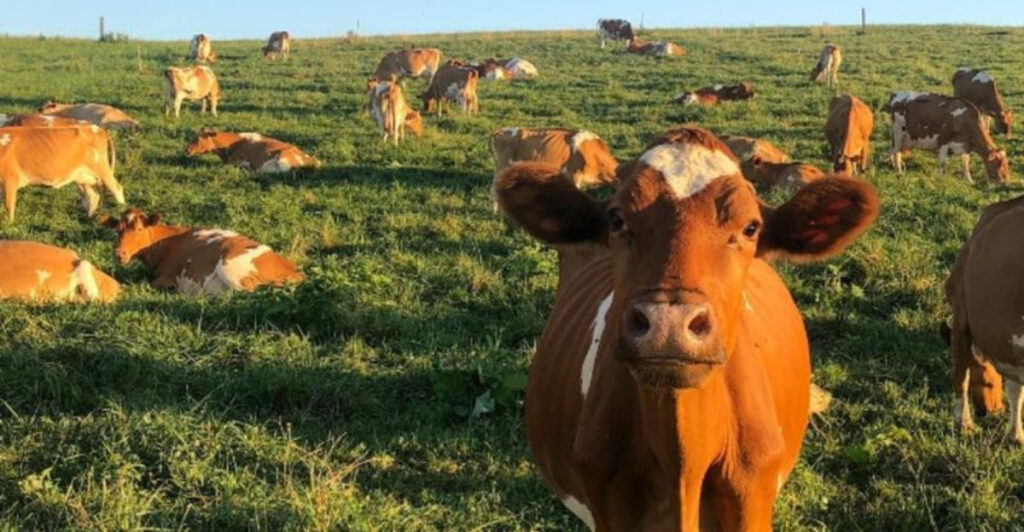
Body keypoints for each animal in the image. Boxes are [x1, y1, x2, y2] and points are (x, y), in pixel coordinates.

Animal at [102, 208, 304, 294]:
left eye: (139, 229)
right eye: (117, 230)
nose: (120, 253)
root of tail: (294, 269)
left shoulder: (168, 277)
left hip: (230, 267)